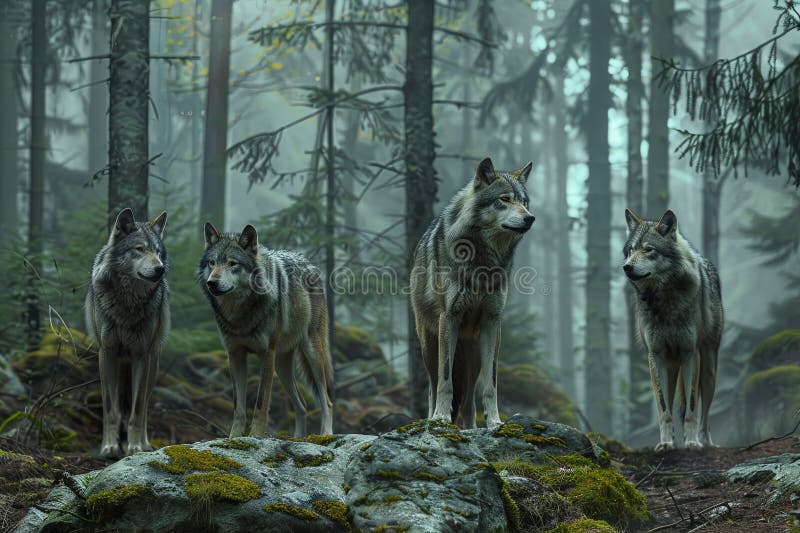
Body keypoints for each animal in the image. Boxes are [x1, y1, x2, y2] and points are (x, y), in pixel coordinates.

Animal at [86, 208, 169, 458]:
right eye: (140, 249)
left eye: (158, 252)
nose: (161, 268)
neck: (126, 303)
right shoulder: (107, 354)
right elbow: (110, 410)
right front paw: (109, 447)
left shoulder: (141, 355)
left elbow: (137, 409)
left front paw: (134, 447)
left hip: (152, 364)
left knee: (144, 408)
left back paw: (144, 443)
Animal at [198, 223, 334, 437]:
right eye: (212, 263)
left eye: (232, 263)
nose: (212, 283)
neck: (239, 315)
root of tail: (308, 262)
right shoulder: (234, 354)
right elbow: (238, 406)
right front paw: (233, 438)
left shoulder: (266, 354)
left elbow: (261, 402)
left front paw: (255, 435)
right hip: (281, 366)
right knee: (302, 405)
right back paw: (297, 437)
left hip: (311, 354)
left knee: (326, 401)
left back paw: (326, 434)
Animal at [410, 157, 535, 429]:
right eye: (505, 199)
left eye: (524, 202)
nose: (531, 218)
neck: (482, 261)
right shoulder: (449, 318)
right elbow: (445, 381)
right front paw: (441, 417)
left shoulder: (492, 322)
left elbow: (491, 385)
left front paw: (496, 423)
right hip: (430, 346)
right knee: (433, 387)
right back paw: (432, 417)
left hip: (474, 354)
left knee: (468, 401)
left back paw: (470, 428)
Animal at [623, 208, 723, 451]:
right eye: (630, 251)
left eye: (648, 249)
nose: (626, 267)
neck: (665, 299)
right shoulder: (655, 355)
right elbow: (664, 410)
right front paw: (666, 443)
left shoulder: (690, 353)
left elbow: (692, 408)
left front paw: (693, 443)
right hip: (670, 368)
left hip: (708, 370)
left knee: (705, 414)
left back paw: (706, 442)